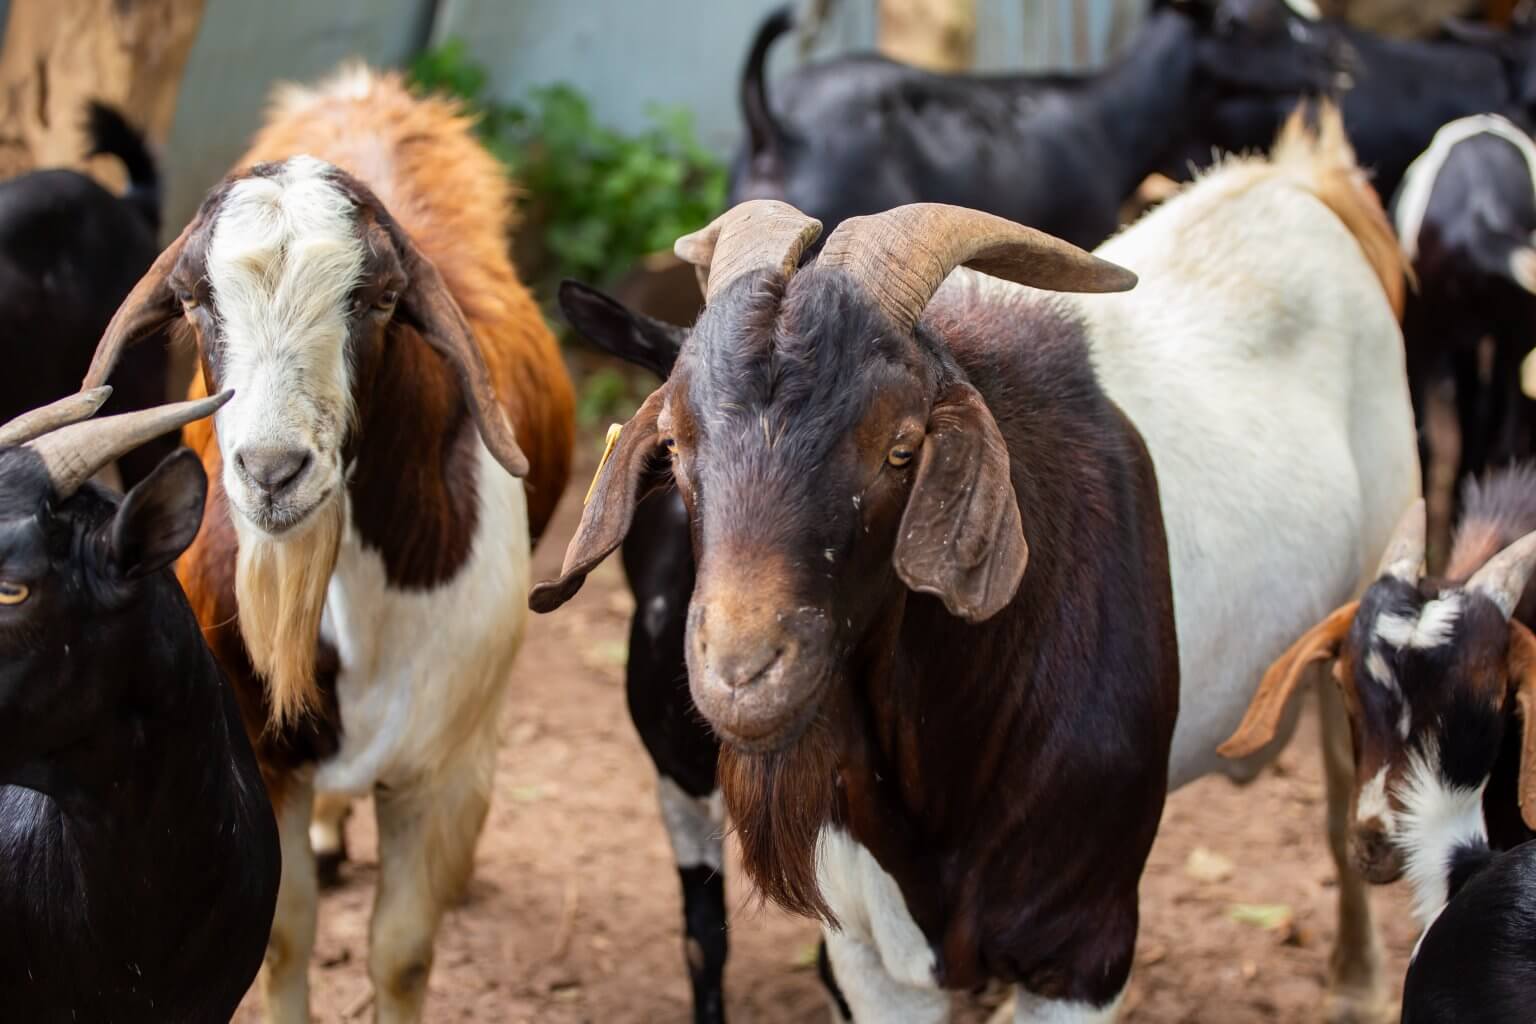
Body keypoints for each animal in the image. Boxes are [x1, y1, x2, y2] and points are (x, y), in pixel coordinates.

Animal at [81, 66, 575, 1023]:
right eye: (192, 298)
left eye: (381, 299)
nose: (273, 472)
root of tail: (363, 89)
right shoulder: (263, 758)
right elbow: (283, 941)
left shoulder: (443, 773)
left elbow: (402, 954)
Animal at [539, 104, 1418, 1021]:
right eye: (676, 443)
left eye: (901, 448)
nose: (741, 672)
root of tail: (1300, 179)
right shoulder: (867, 951)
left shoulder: (1086, 948)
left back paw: (1357, 981)